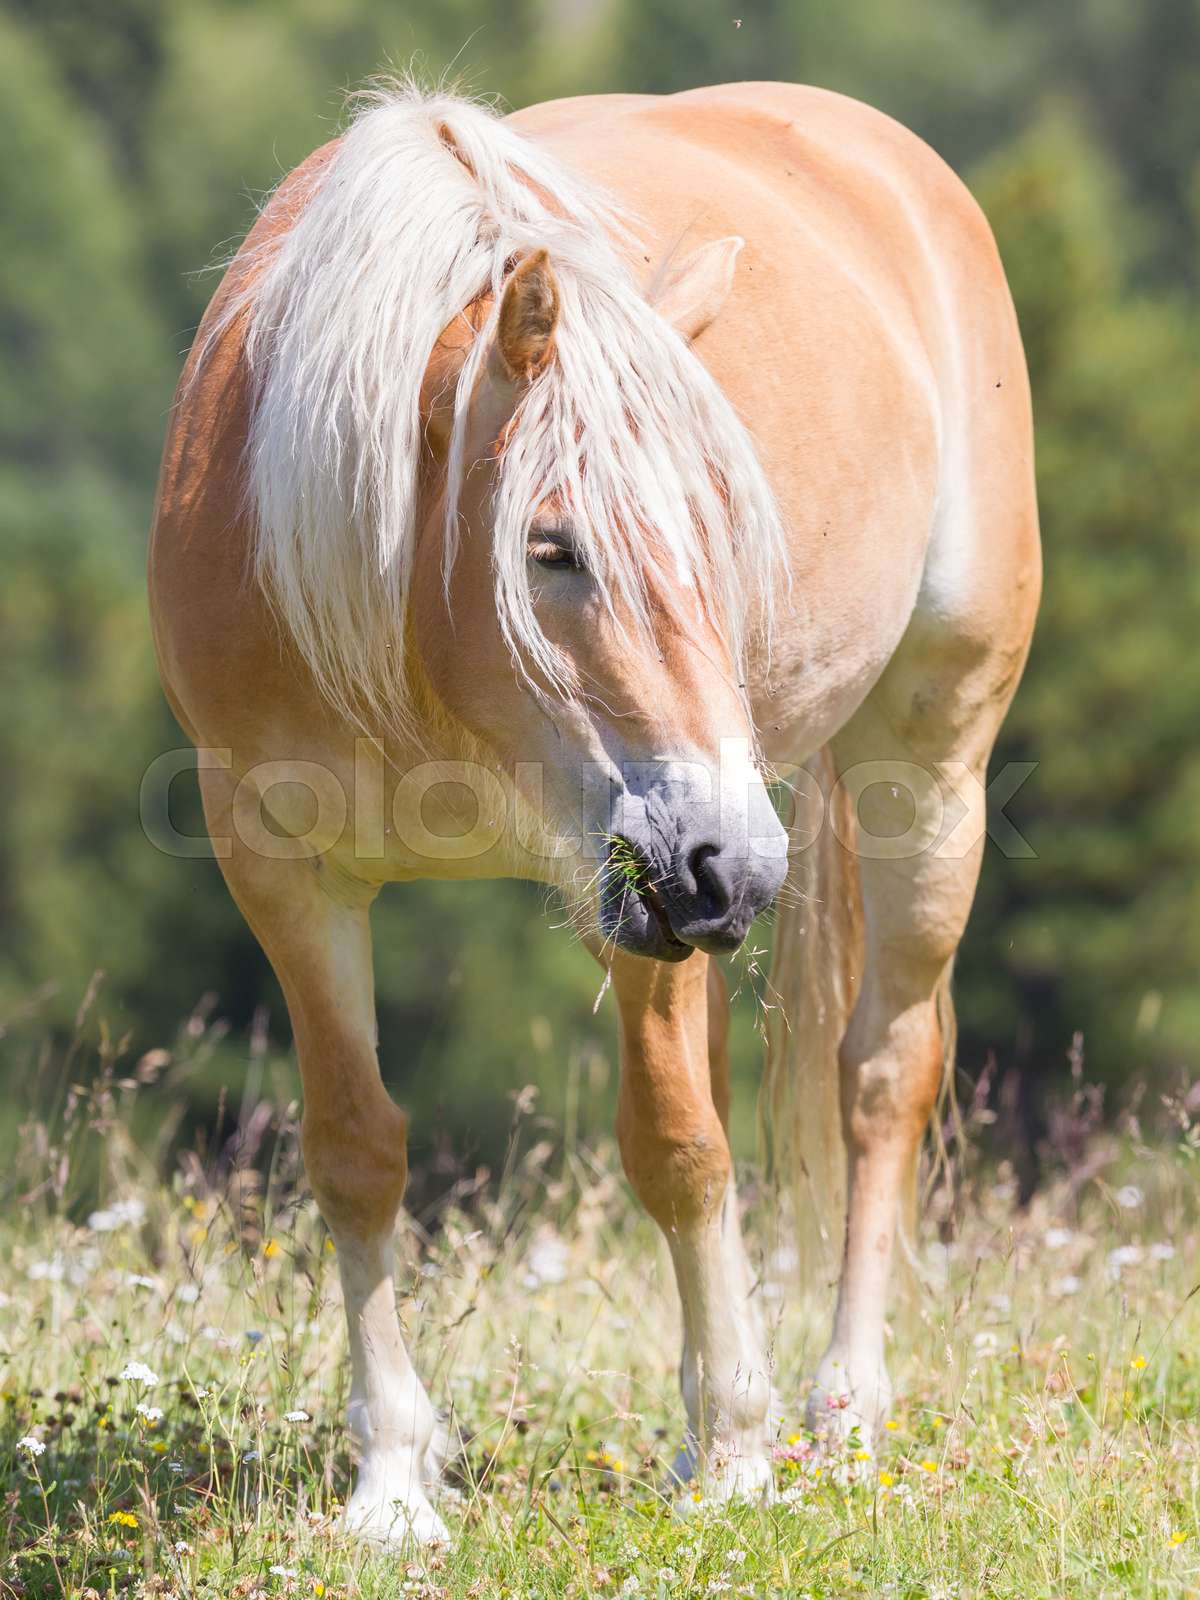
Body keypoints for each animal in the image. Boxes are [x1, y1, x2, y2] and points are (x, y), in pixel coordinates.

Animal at [148, 80, 1040, 1542]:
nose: (733, 867)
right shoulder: (282, 872)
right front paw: (393, 1485)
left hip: (926, 768)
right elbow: (355, 1149)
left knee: (877, 1077)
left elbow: (677, 1145)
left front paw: (735, 1453)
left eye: (726, 527)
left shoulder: (649, 887)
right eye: (550, 547)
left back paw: (838, 1417)